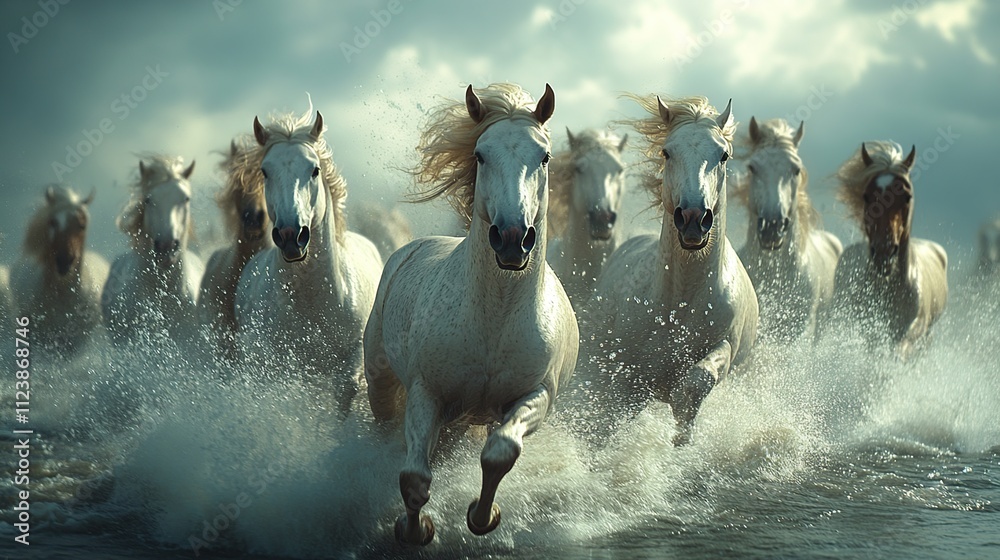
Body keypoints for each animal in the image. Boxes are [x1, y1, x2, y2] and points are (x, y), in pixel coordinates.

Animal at [234, 107, 383, 416]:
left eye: (314, 170)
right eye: (265, 171)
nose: (291, 236)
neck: (311, 301)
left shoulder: (354, 357)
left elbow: (346, 390)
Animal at [363, 83, 578, 545]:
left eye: (544, 156)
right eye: (481, 155)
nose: (512, 238)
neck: (493, 319)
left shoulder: (536, 395)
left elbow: (500, 453)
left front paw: (484, 517)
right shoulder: (427, 392)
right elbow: (414, 478)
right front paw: (415, 529)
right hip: (381, 380)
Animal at [585, 95, 758, 446]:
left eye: (723, 154)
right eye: (667, 152)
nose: (693, 218)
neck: (681, 302)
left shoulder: (724, 345)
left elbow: (701, 377)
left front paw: (682, 428)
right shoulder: (625, 376)